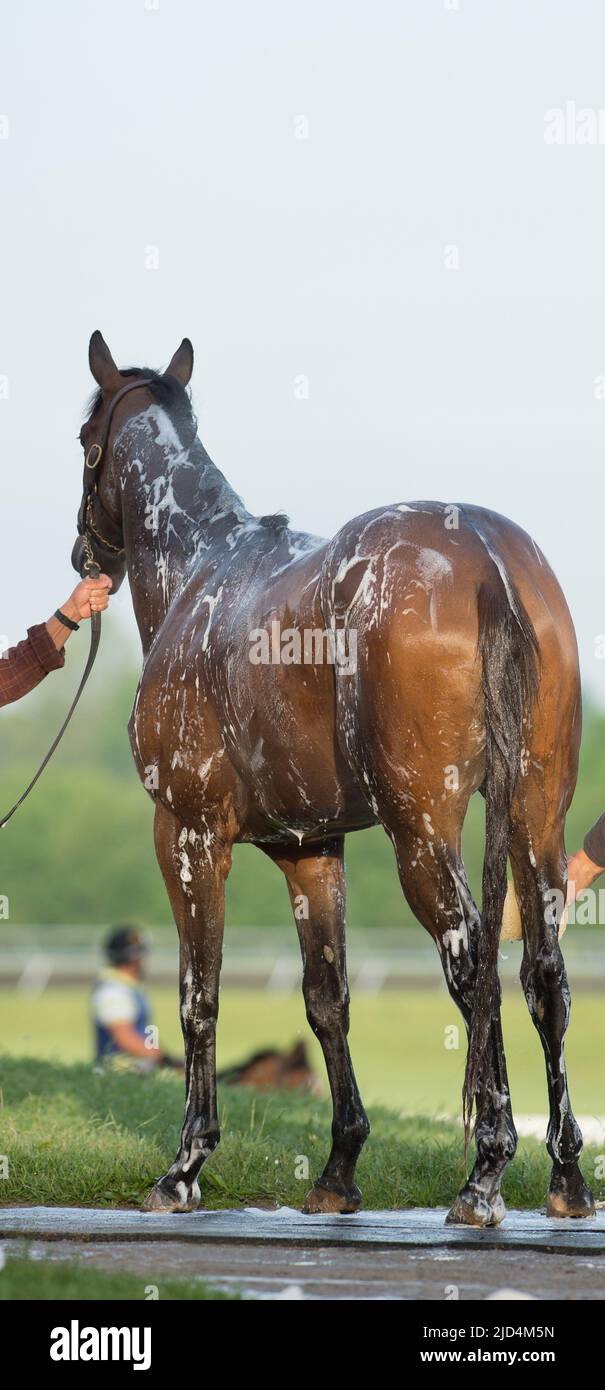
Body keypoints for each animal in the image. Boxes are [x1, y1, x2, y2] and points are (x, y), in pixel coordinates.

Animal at [72, 330, 595, 1226]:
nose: (81, 552)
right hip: (537, 817)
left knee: (473, 969)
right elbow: (327, 999)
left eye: (83, 440)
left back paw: (484, 1174)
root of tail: (486, 554)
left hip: (422, 831)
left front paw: (183, 1168)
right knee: (542, 977)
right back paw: (565, 1178)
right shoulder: (310, 849)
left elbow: (198, 997)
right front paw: (338, 1169)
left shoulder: (187, 836)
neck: (203, 572)